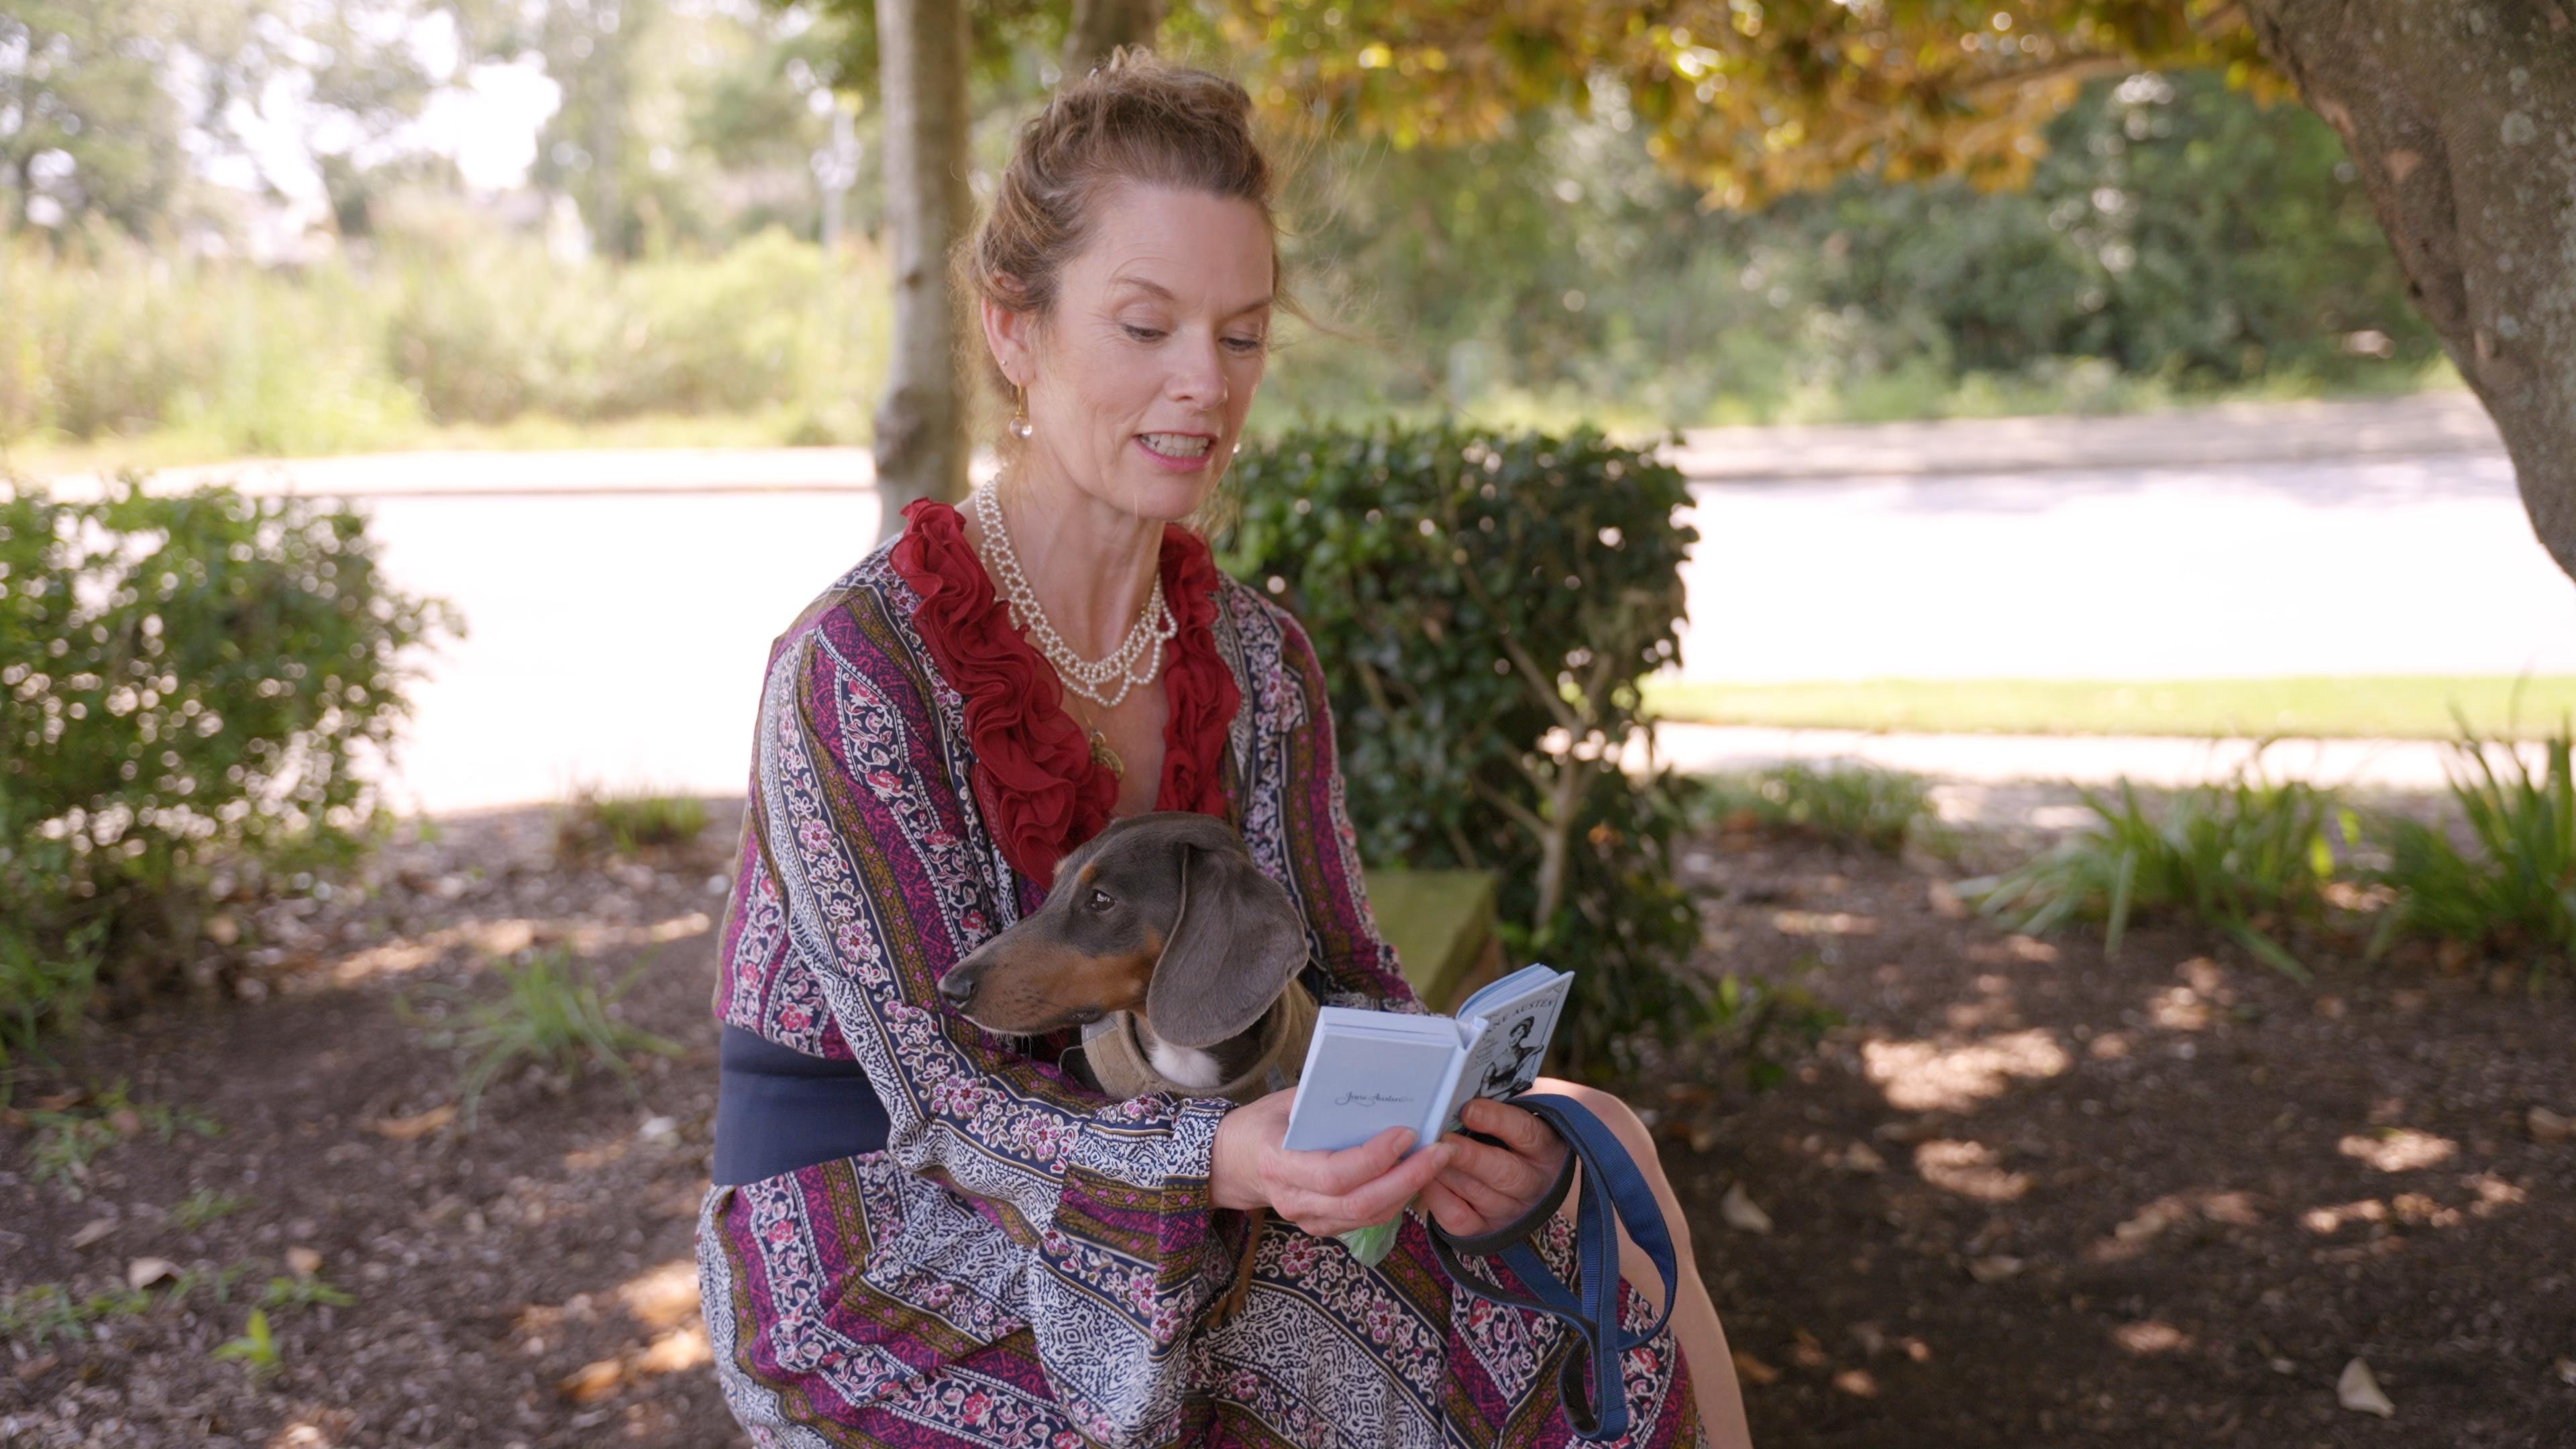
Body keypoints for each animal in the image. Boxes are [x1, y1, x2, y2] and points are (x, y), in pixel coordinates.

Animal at [937, 814, 1319, 1320]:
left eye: (1102, 899)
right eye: (1053, 887)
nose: (950, 987)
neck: (1180, 1055)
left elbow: (1256, 1212)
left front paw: (1234, 1288)